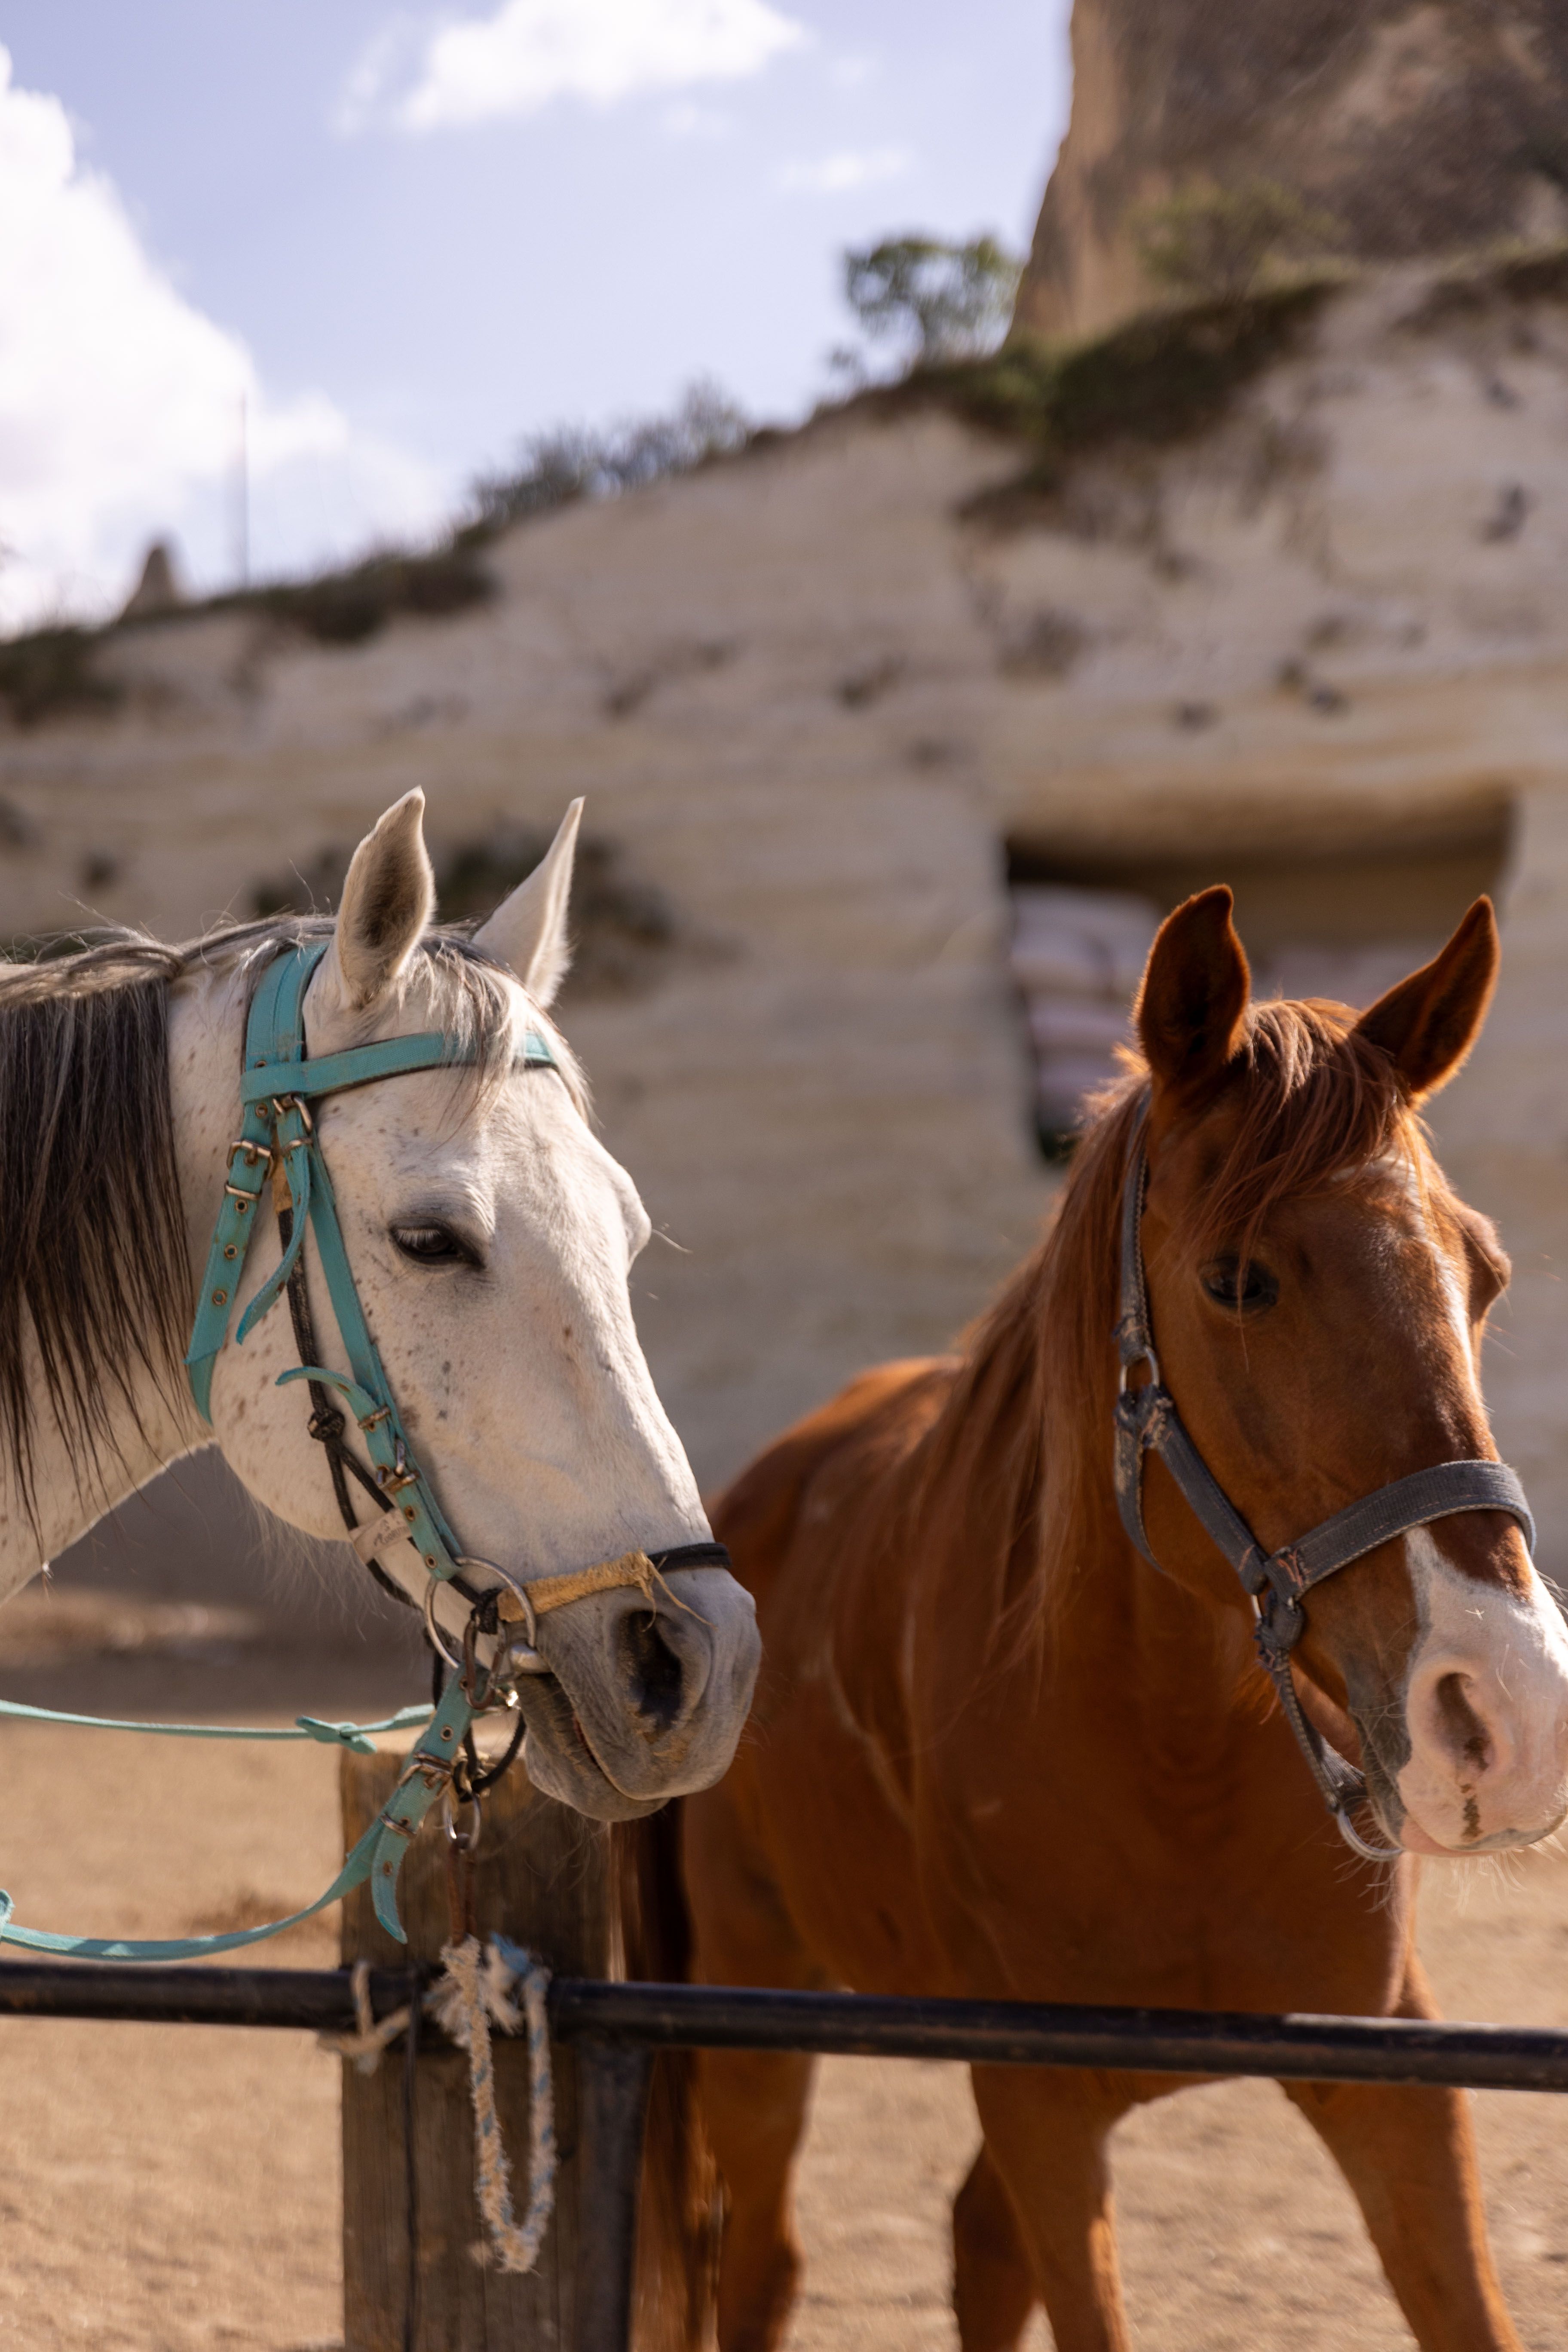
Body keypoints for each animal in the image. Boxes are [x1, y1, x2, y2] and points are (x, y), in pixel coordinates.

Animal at [629, 887, 1568, 2352]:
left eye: (1483, 1276)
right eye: (1238, 1281)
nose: (1507, 1712)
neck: (1168, 1756)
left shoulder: (1390, 2086)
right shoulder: (1043, 2103)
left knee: (968, 2245)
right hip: (751, 2016)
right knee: (763, 2267)